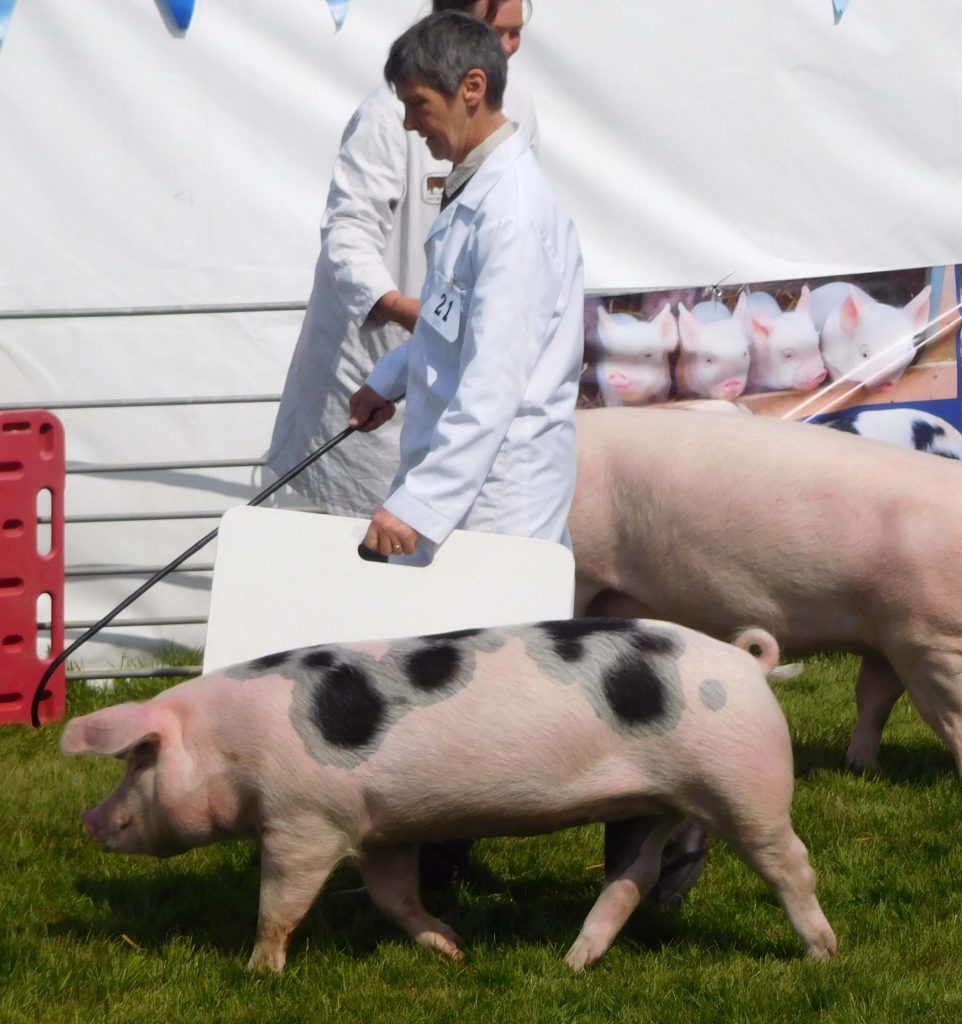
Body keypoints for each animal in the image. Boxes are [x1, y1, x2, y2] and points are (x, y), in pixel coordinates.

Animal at [61, 619, 836, 973]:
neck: (228, 745)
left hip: (743, 782)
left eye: (138, 759)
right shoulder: (376, 829)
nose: (89, 820)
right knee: (630, 879)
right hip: (656, 804)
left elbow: (279, 903)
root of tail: (748, 664)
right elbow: (394, 896)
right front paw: (454, 950)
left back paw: (822, 955)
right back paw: (571, 964)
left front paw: (258, 972)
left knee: (791, 863)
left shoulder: (303, 822)